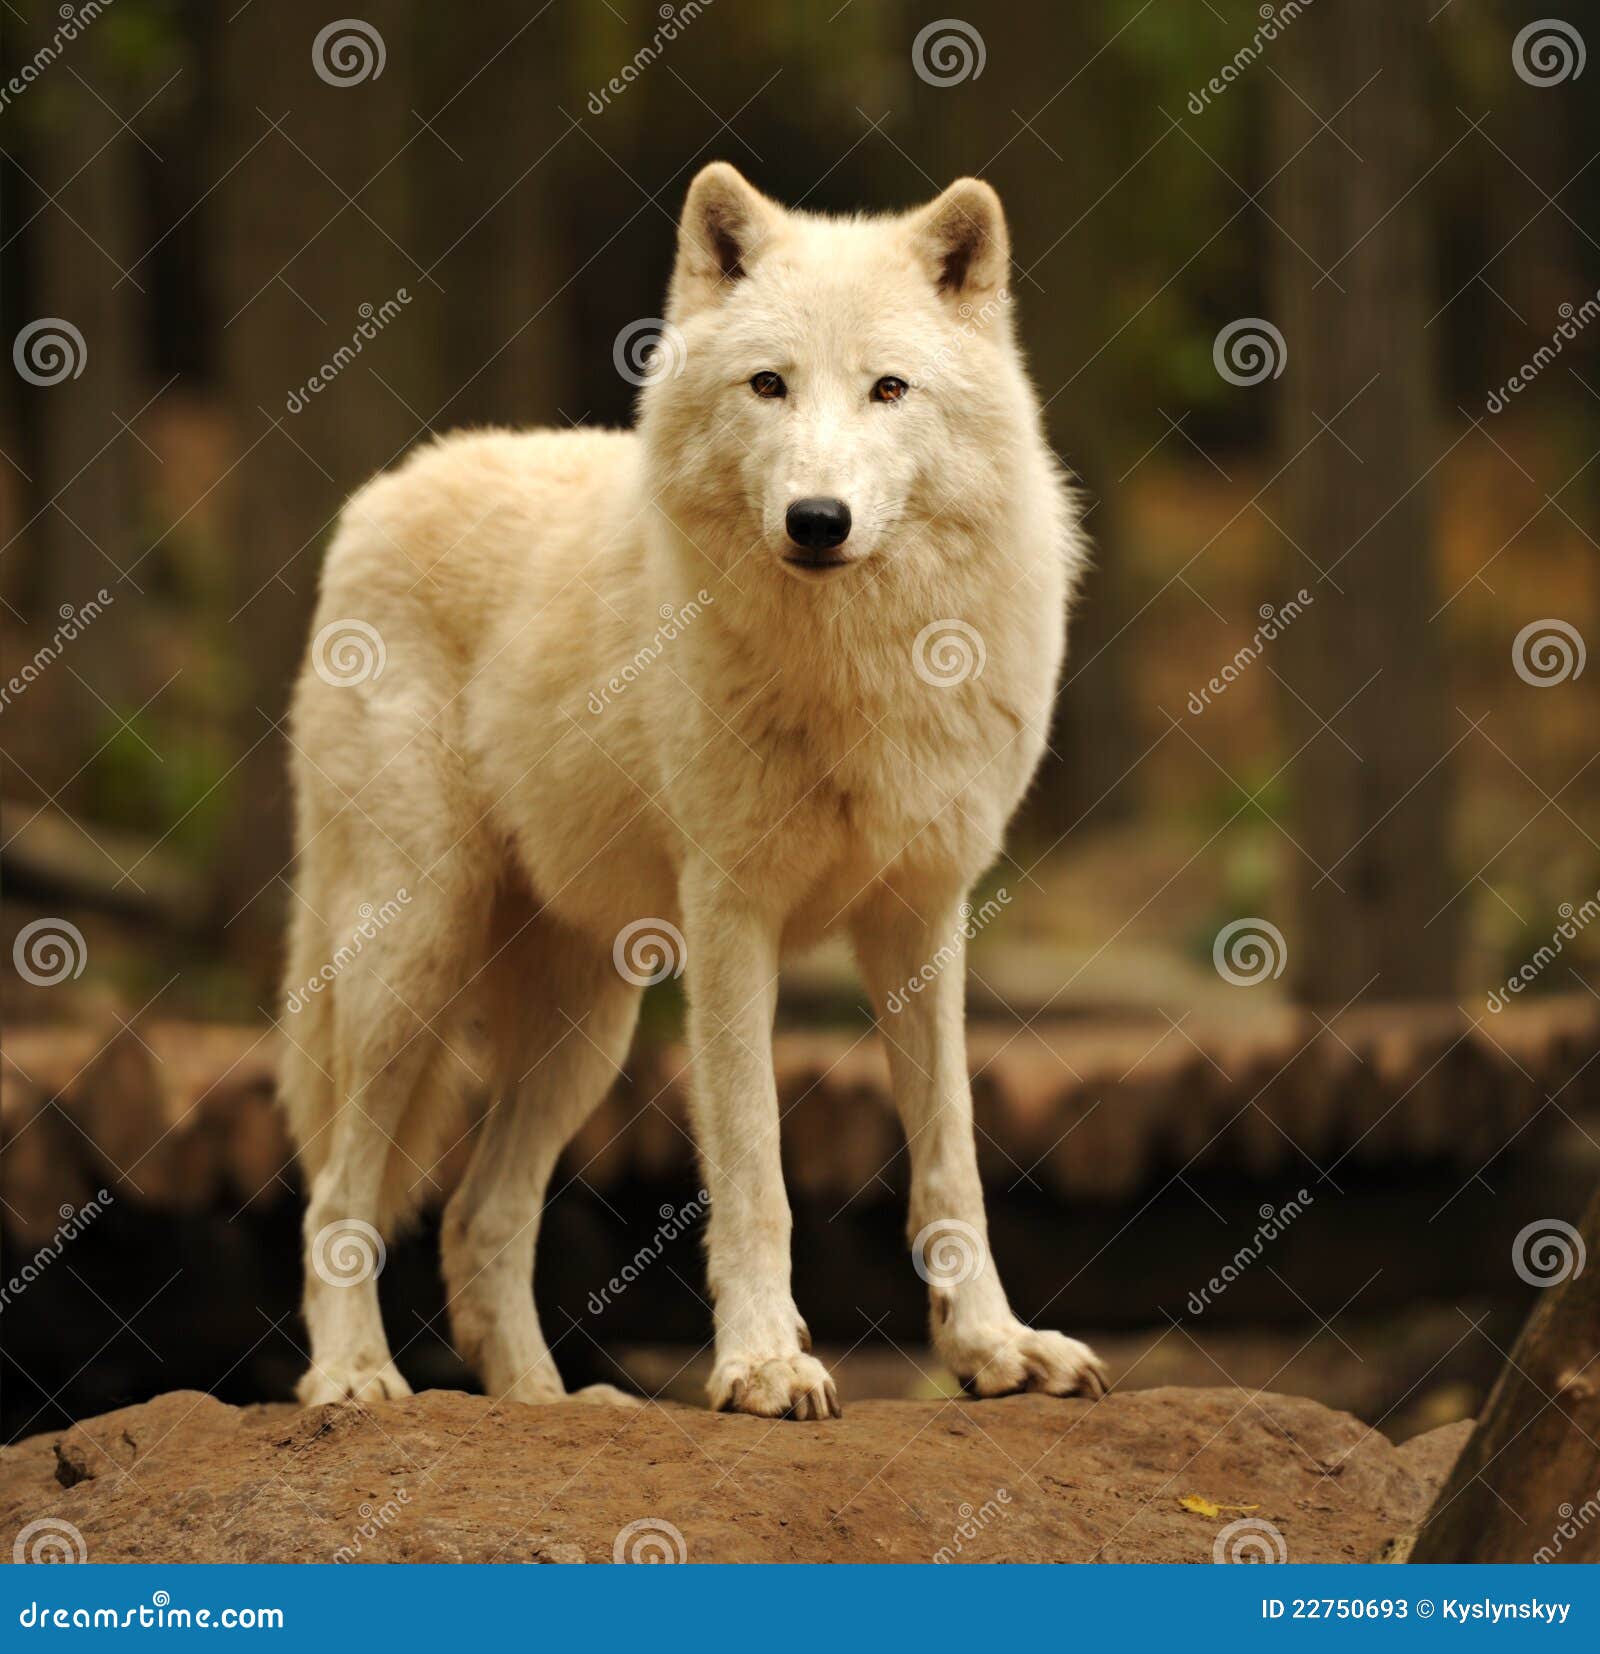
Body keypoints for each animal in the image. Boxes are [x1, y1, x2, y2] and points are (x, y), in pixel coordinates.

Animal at [281, 162, 1104, 1419]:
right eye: (769, 385)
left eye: (888, 389)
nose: (816, 520)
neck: (849, 664)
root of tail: (386, 488)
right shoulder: (731, 916)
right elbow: (756, 1168)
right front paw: (764, 1363)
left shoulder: (921, 914)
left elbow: (952, 1160)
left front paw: (994, 1350)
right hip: (413, 955)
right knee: (337, 1194)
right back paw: (354, 1377)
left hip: (587, 1023)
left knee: (478, 1217)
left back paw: (552, 1404)